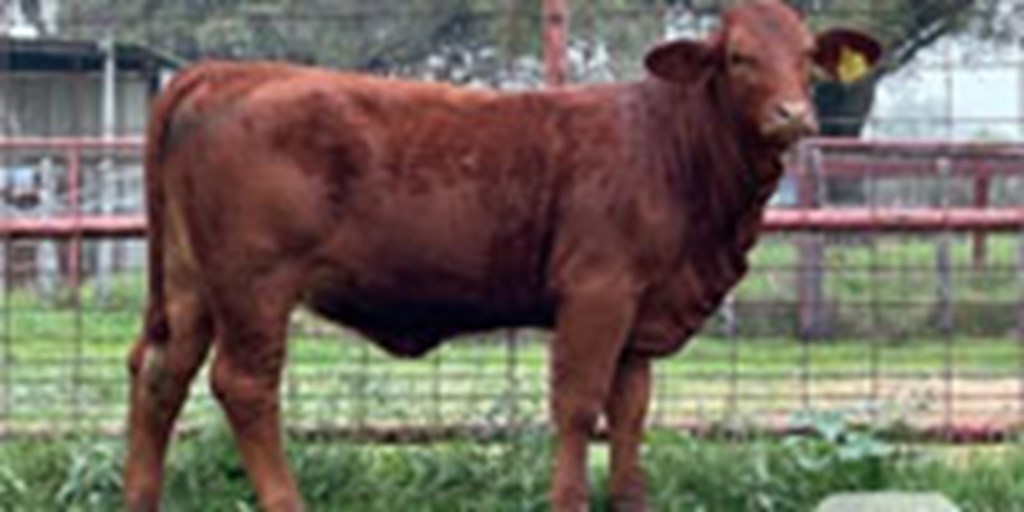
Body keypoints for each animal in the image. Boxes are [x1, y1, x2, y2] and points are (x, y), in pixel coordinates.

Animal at [123, 1, 881, 510]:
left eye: (808, 55)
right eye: (737, 57)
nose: (793, 114)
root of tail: (225, 74)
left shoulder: (641, 313)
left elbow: (630, 413)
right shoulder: (597, 293)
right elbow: (577, 405)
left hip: (192, 287)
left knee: (161, 373)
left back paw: (142, 498)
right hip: (256, 286)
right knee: (245, 385)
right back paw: (287, 501)